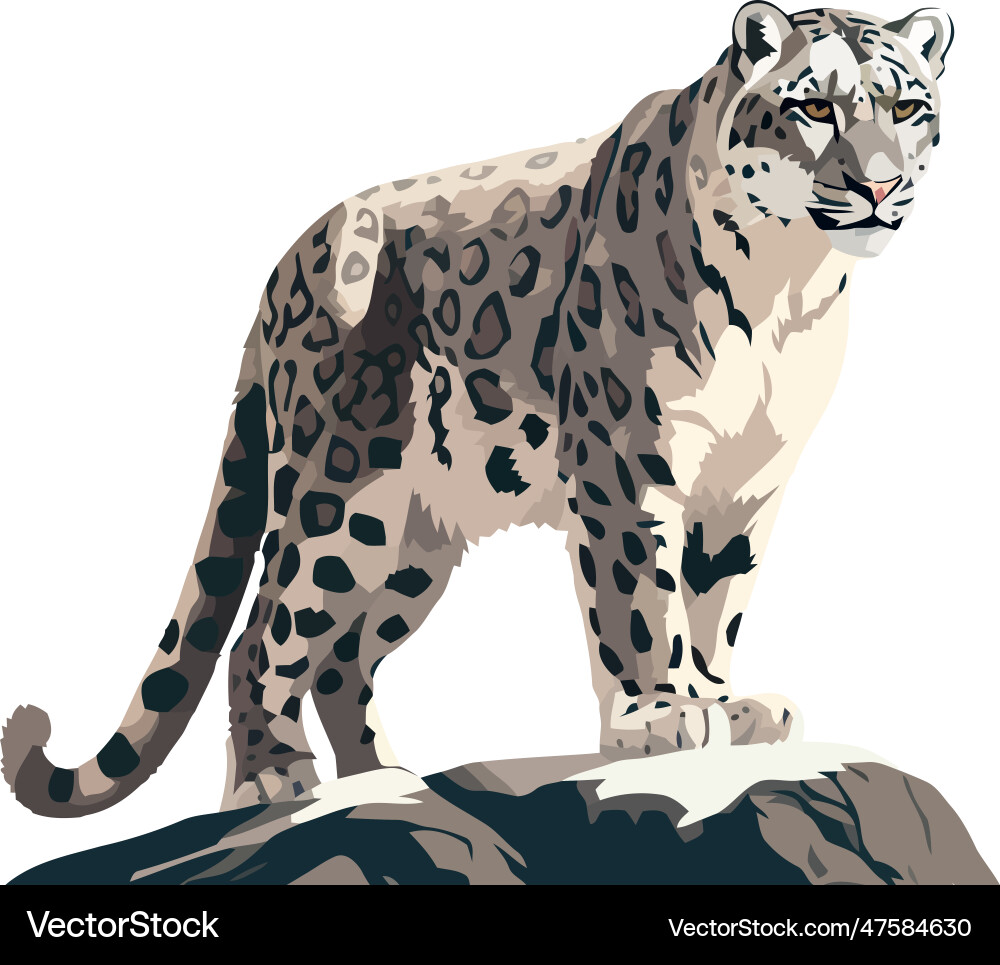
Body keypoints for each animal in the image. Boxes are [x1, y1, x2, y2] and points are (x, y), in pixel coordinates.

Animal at [2, 3, 952, 814]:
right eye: (816, 108)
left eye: (907, 105)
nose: (880, 187)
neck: (786, 283)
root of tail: (284, 268)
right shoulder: (623, 457)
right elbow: (644, 598)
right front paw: (660, 714)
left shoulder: (748, 481)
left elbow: (717, 599)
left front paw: (729, 705)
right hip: (342, 492)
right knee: (265, 631)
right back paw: (275, 780)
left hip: (412, 546)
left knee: (343, 659)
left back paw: (385, 776)